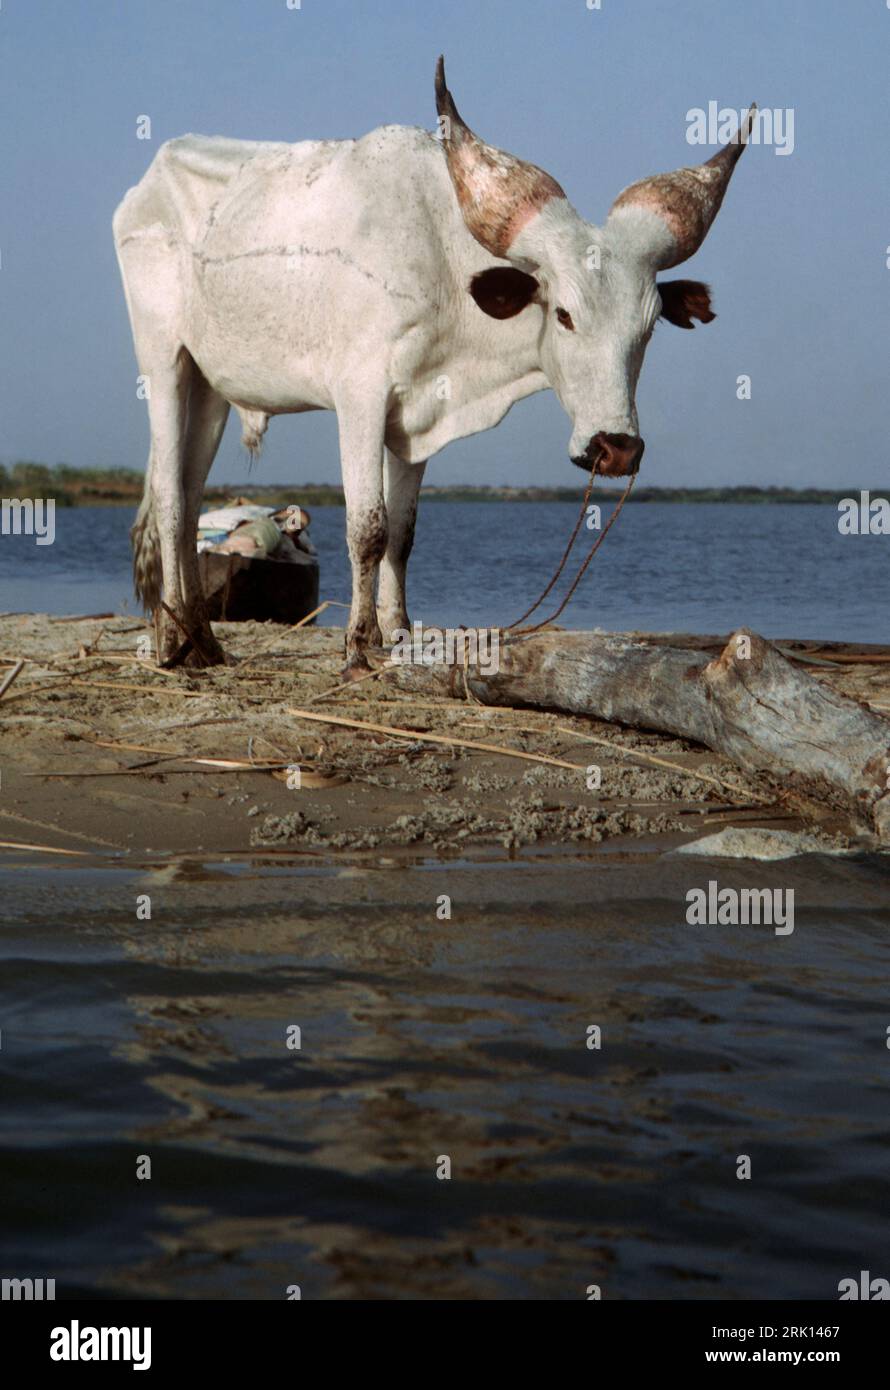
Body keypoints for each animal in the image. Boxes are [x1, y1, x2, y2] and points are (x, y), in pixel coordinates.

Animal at [114, 57, 754, 675]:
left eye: (649, 326)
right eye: (565, 315)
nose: (616, 449)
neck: (445, 269)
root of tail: (145, 188)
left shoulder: (417, 414)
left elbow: (402, 533)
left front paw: (398, 638)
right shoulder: (360, 397)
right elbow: (368, 528)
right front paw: (357, 649)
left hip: (210, 386)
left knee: (190, 491)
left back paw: (202, 640)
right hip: (163, 360)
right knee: (171, 502)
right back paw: (172, 643)